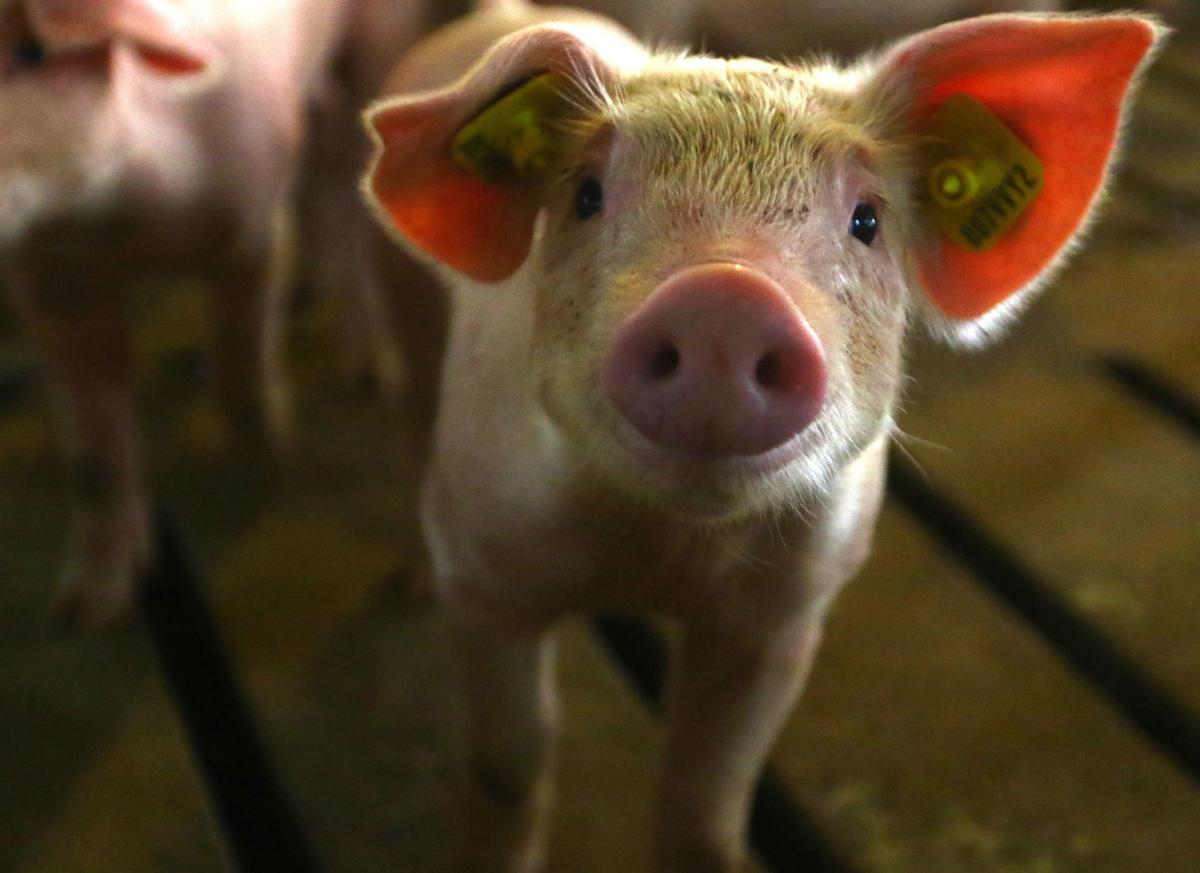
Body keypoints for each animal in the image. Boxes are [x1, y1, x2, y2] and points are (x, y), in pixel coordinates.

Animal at [0, 0, 350, 629]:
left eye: (27, 55)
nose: (67, 616)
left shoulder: (253, 230)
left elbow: (239, 377)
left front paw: (276, 466)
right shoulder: (51, 293)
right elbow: (92, 460)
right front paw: (84, 612)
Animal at [362, 1, 1163, 869]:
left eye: (867, 220)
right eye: (586, 194)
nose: (725, 296)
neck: (658, 556)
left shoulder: (784, 612)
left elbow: (707, 798)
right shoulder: (482, 578)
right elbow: (509, 764)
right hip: (399, 297)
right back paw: (405, 583)